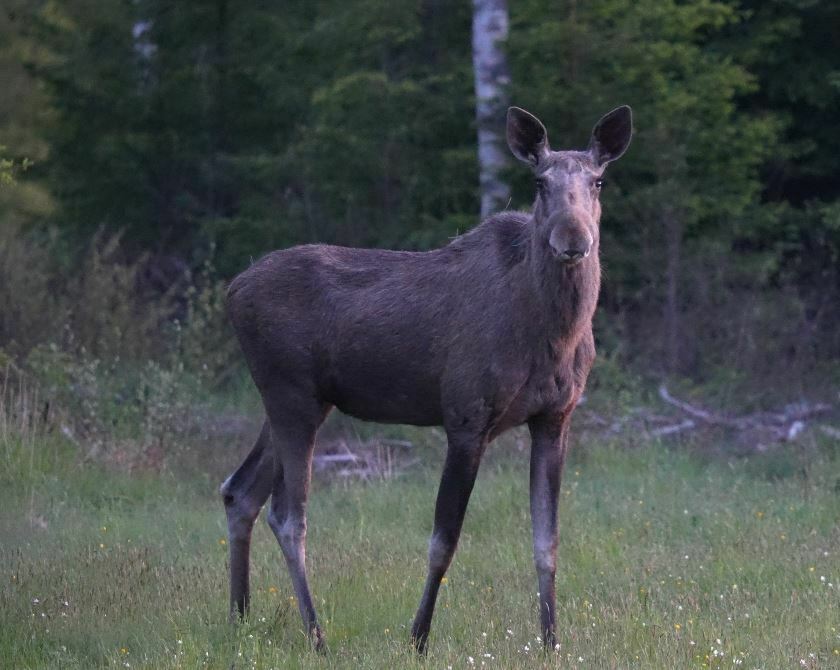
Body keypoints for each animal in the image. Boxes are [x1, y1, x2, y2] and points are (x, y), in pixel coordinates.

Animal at [220, 104, 633, 653]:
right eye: (540, 182)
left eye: (598, 181)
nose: (572, 240)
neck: (555, 335)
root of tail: (232, 291)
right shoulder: (465, 417)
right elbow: (443, 540)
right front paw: (417, 637)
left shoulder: (555, 418)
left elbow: (547, 542)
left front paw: (551, 642)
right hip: (291, 397)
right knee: (287, 515)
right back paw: (316, 636)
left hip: (302, 401)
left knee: (240, 490)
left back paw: (239, 620)